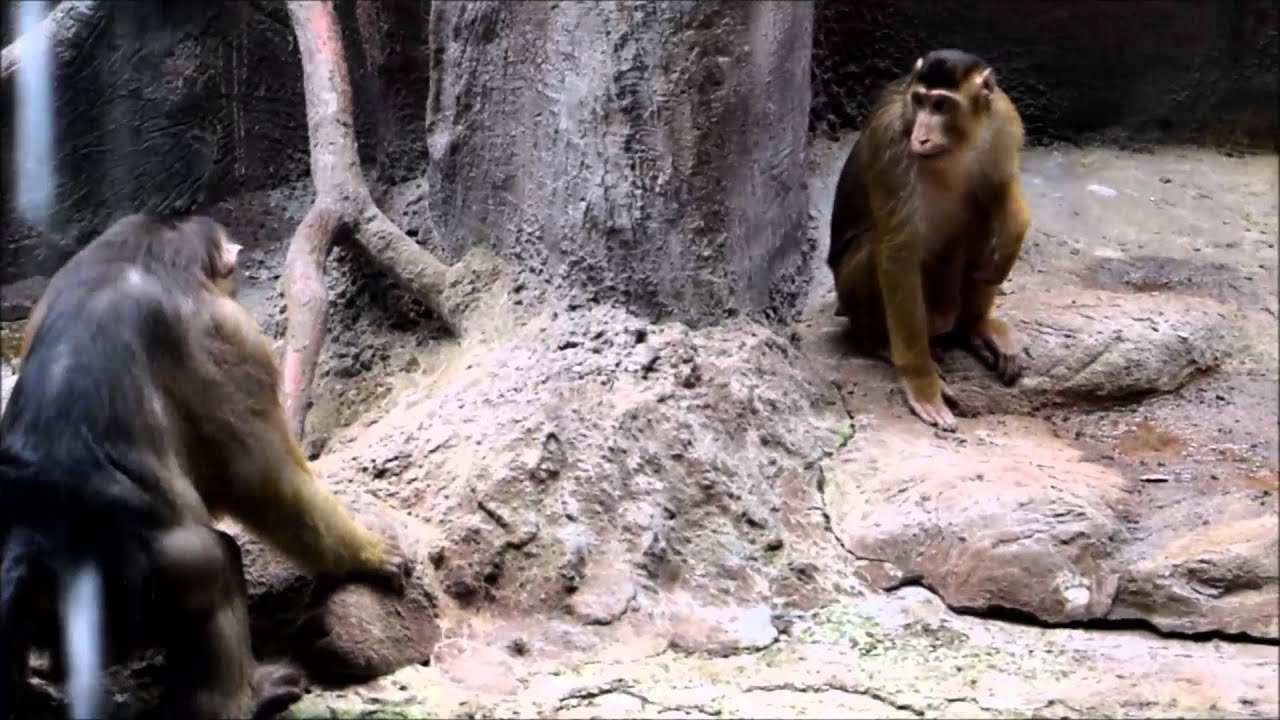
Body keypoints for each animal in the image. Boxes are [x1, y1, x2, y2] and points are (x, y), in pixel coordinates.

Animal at [0, 213, 410, 718]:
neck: (141, 254)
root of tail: (38, 538)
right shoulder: (227, 329)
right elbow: (259, 477)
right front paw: (367, 554)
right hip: (140, 581)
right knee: (214, 564)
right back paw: (245, 696)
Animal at [827, 49, 1030, 432]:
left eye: (941, 106)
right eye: (919, 102)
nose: (921, 137)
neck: (958, 144)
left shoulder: (1003, 118)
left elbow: (997, 188)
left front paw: (1016, 226)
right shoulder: (892, 143)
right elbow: (897, 253)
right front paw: (922, 384)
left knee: (980, 213)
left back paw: (975, 325)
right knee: (876, 249)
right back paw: (877, 342)